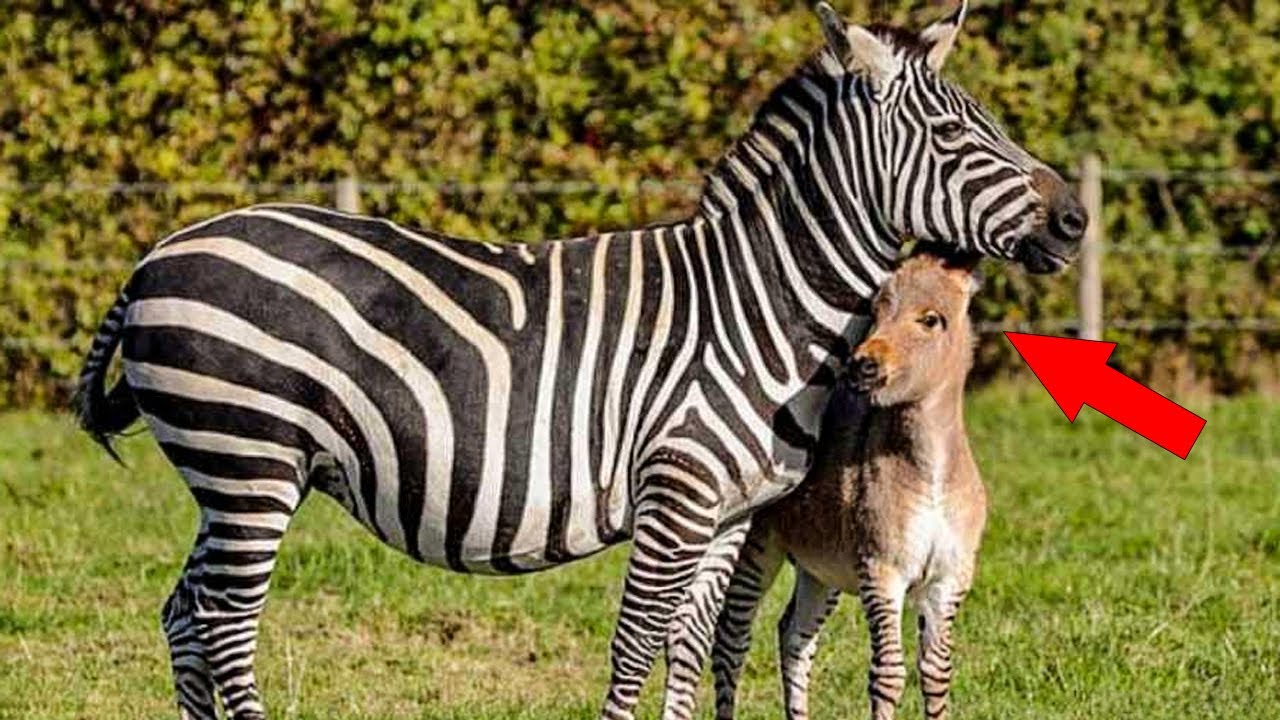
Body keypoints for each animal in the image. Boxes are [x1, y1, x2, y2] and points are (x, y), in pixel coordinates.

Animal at [72, 3, 1084, 719]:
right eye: (955, 136)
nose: (1074, 218)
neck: (761, 304)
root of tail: (159, 252)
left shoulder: (725, 517)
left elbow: (689, 650)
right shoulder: (675, 497)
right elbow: (636, 645)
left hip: (229, 474)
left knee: (186, 613)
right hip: (250, 458)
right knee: (225, 625)